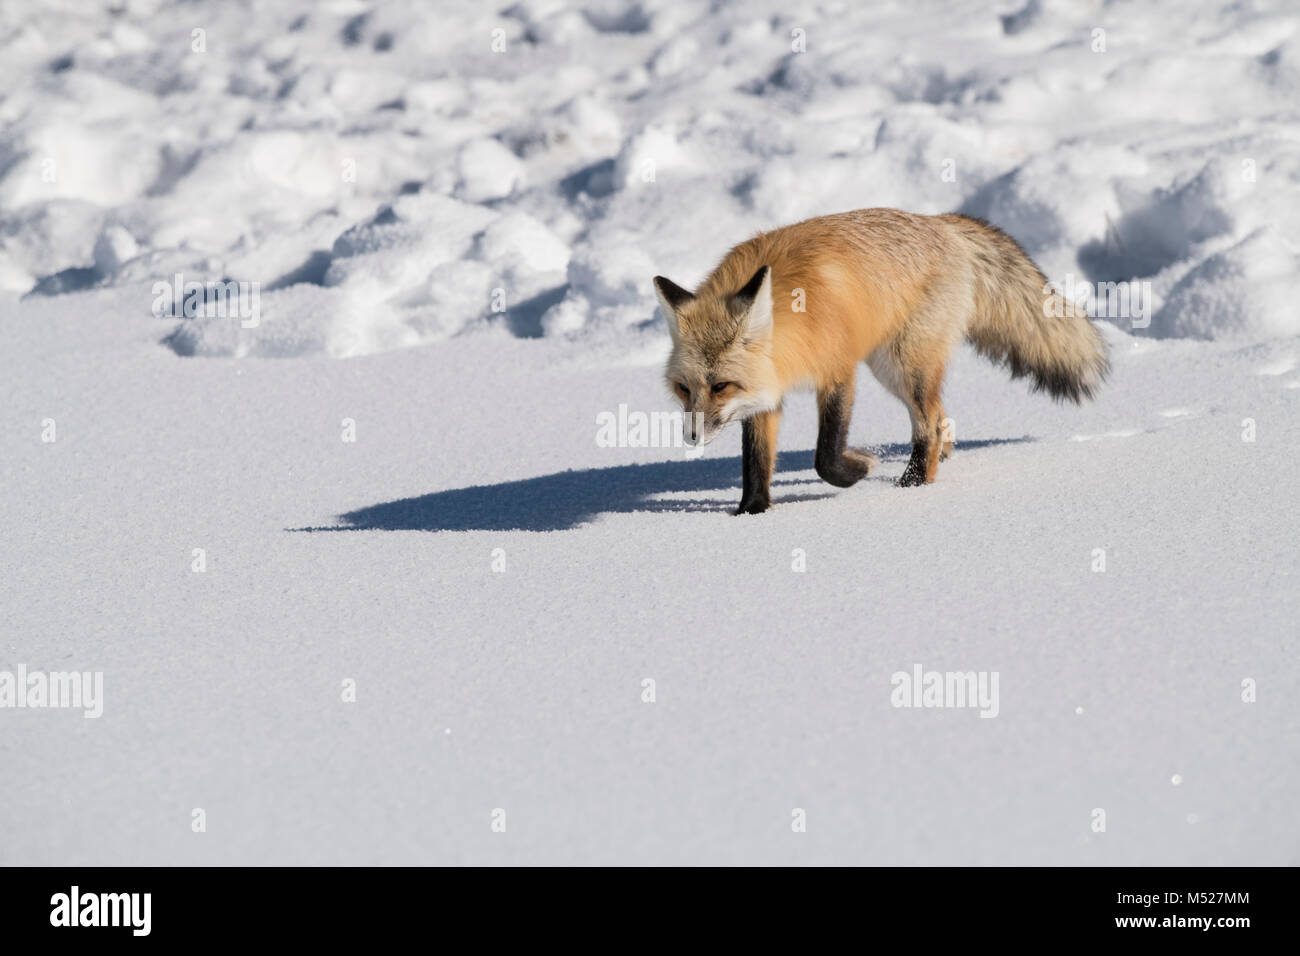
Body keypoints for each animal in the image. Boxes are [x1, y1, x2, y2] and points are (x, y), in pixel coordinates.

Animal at [653, 208, 1109, 514]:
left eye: (720, 386)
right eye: (684, 388)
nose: (691, 436)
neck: (792, 320)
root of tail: (940, 222)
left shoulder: (838, 369)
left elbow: (825, 456)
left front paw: (859, 470)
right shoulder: (767, 390)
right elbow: (756, 460)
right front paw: (752, 512)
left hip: (902, 365)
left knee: (928, 423)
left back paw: (913, 483)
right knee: (941, 418)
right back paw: (939, 462)